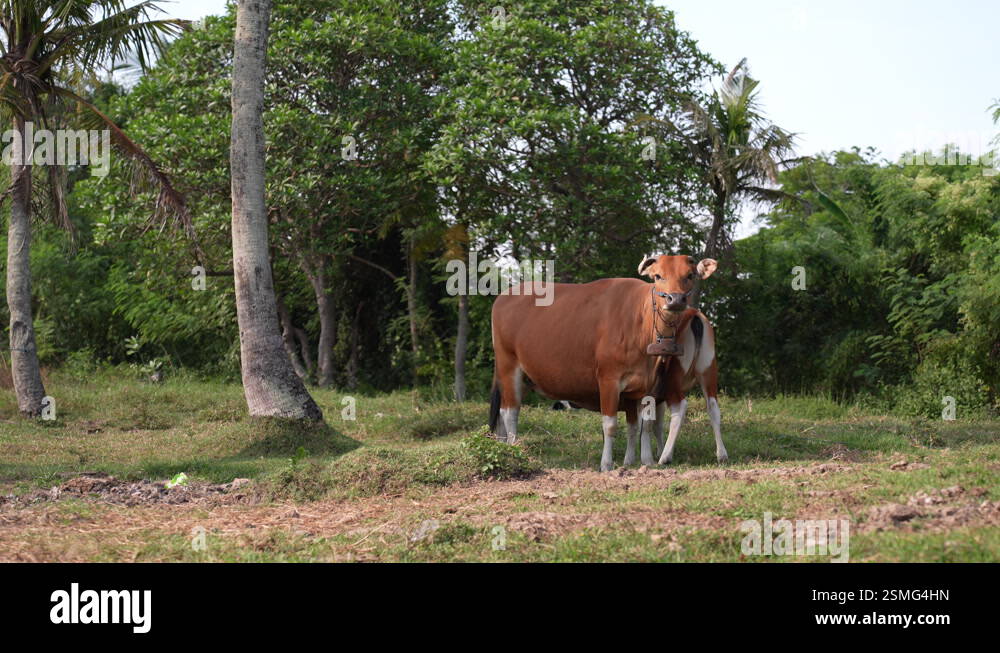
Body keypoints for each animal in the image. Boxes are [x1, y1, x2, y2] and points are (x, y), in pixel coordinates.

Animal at [488, 254, 727, 471]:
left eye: (690, 275)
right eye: (658, 276)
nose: (675, 299)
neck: (640, 322)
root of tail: (503, 298)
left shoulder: (644, 386)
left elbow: (643, 424)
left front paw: (643, 460)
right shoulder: (608, 379)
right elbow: (612, 425)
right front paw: (608, 463)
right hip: (508, 367)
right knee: (510, 412)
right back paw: (514, 449)